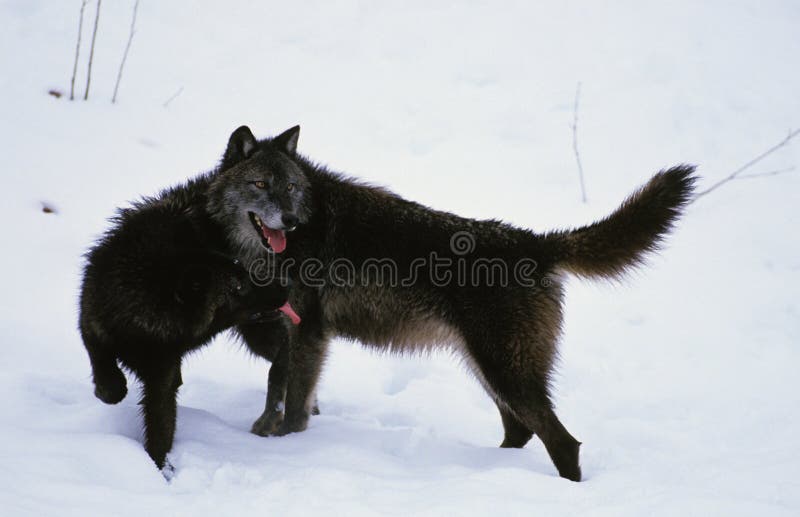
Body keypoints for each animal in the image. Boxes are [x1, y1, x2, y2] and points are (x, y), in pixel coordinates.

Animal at [78, 127, 305, 470]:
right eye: (261, 184)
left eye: (290, 186)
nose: (286, 284)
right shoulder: (91, 315)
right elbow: (99, 358)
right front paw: (112, 388)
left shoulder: (163, 376)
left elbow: (160, 435)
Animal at [221, 125, 696, 482]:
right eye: (261, 185)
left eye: (291, 186)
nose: (290, 221)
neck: (307, 222)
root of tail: (537, 243)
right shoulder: (294, 332)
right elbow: (279, 385)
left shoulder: (309, 331)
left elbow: (295, 404)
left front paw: (289, 448)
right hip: (489, 371)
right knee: (521, 432)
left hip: (504, 372)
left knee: (564, 443)